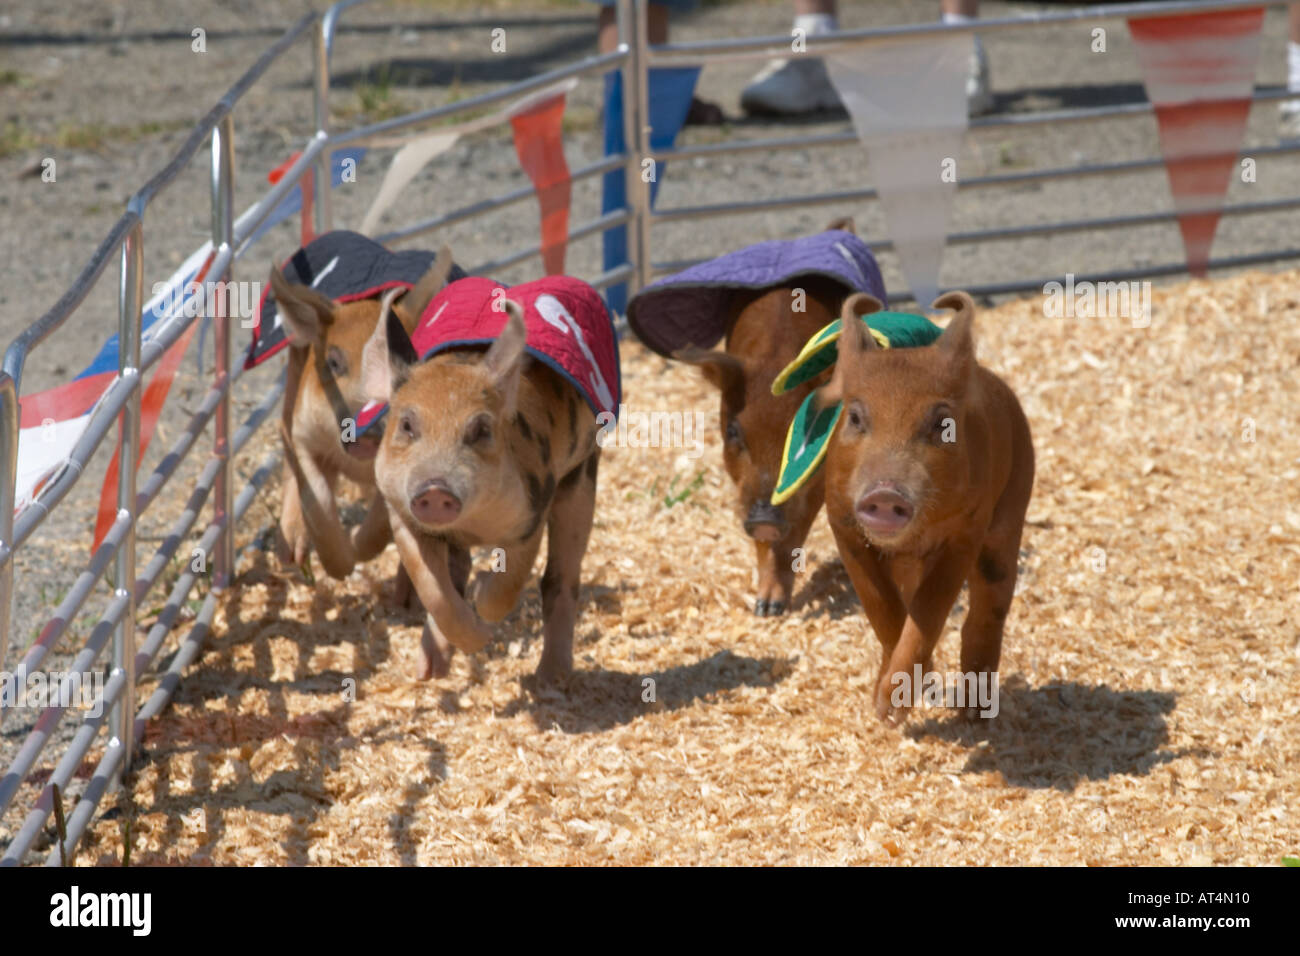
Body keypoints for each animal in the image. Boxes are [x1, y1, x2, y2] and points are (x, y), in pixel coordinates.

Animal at [271, 249, 455, 590]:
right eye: (333, 362)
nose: (368, 432)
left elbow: (384, 517)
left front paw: (356, 546)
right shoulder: (305, 433)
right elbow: (316, 497)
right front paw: (341, 568)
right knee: (285, 440)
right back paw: (289, 553)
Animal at [359, 286, 602, 684]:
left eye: (481, 429)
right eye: (407, 425)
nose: (435, 490)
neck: (471, 525)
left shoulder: (533, 504)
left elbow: (512, 579)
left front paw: (486, 603)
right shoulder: (403, 513)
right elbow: (434, 590)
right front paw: (470, 643)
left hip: (582, 478)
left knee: (560, 579)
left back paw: (551, 678)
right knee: (459, 569)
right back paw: (432, 668)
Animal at [818, 291, 1034, 724]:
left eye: (941, 423)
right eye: (855, 416)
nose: (886, 492)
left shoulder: (968, 528)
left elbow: (930, 608)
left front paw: (893, 707)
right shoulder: (842, 523)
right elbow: (882, 608)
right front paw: (885, 710)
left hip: (1013, 507)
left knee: (989, 607)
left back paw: (973, 711)